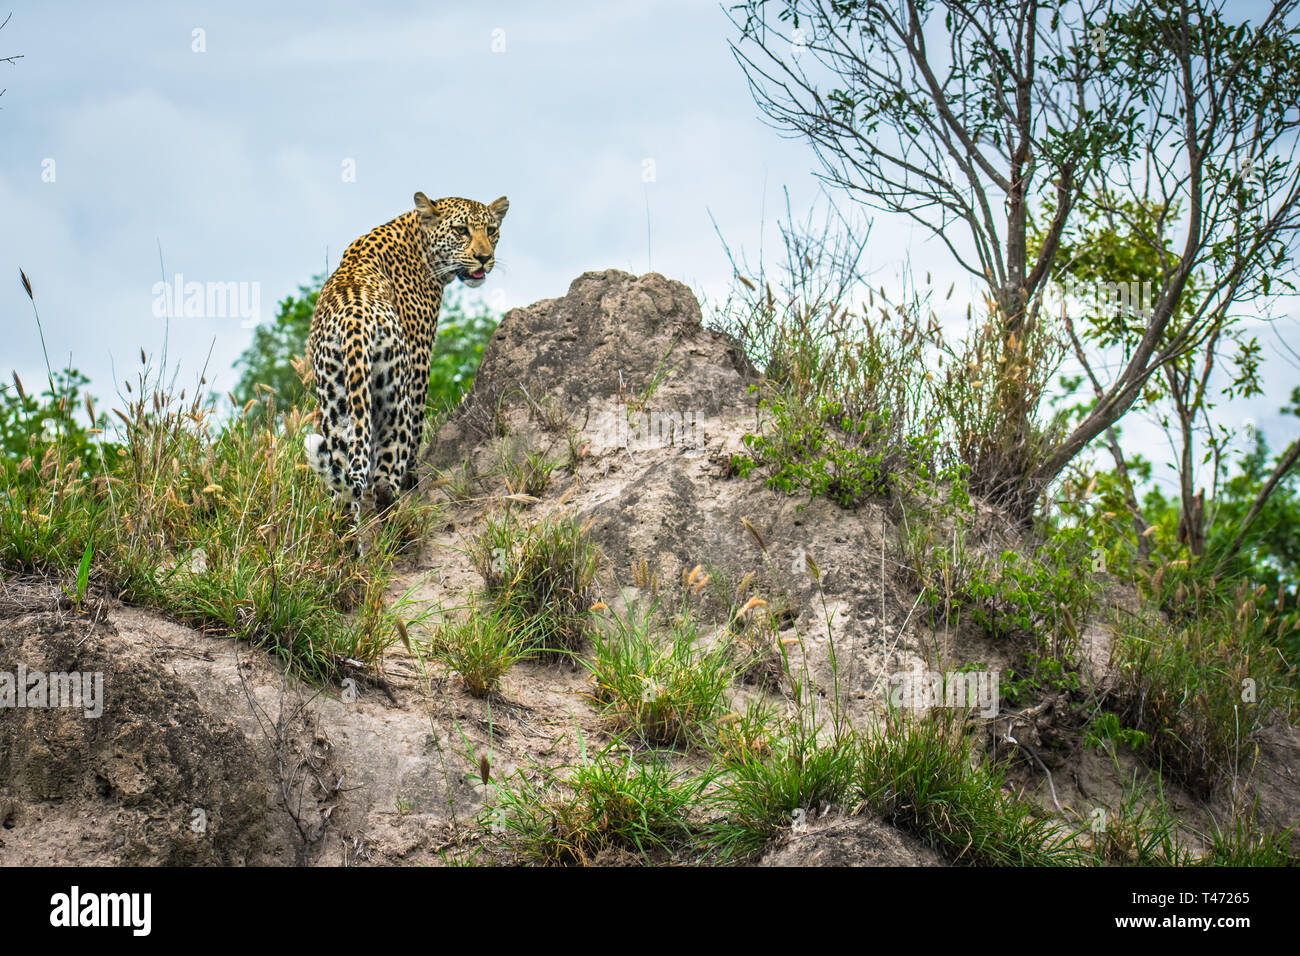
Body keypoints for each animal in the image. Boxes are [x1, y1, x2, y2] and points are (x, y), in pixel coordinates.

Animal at [304, 191, 508, 520]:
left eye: (491, 230)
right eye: (461, 230)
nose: (484, 258)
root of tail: (353, 322)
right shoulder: (420, 356)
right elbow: (417, 426)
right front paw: (413, 478)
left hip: (334, 401)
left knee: (343, 489)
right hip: (394, 390)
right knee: (385, 473)